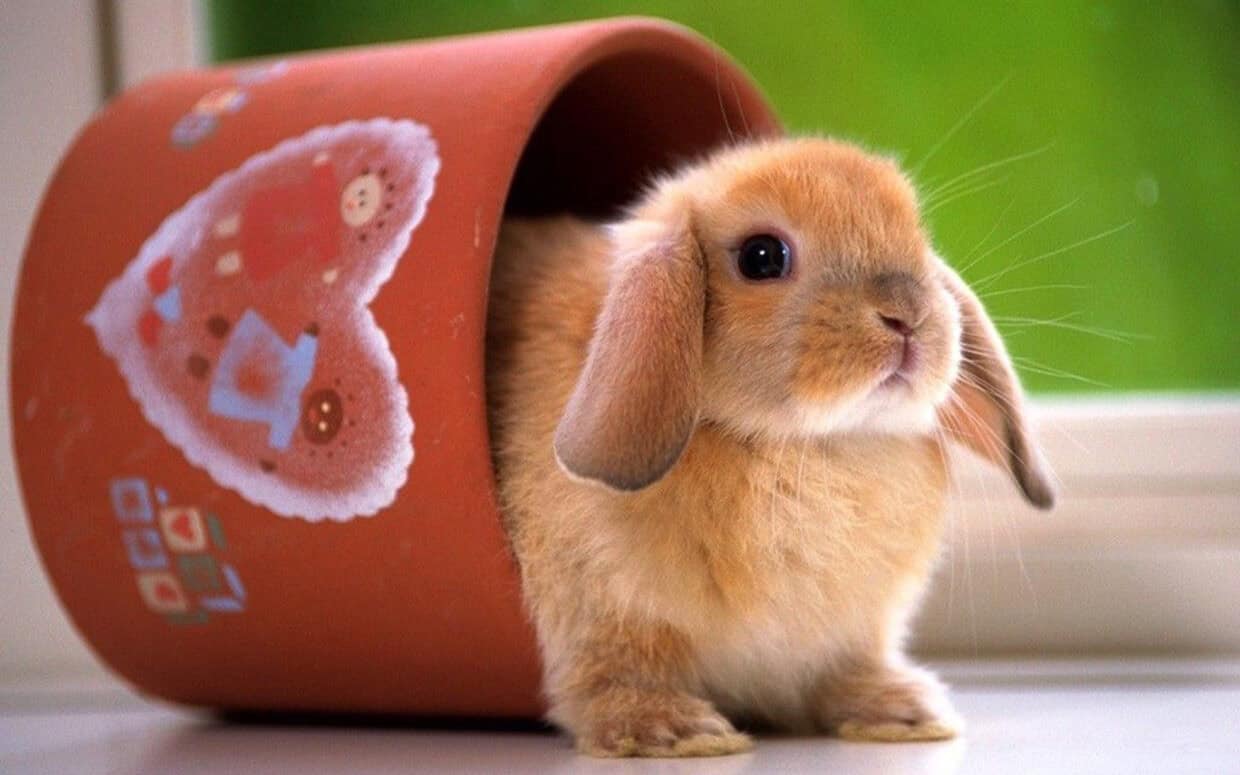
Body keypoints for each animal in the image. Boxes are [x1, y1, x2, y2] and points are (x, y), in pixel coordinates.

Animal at [485, 136, 1055, 758]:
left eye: (917, 237)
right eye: (762, 258)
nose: (908, 316)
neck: (799, 445)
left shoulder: (851, 635)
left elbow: (845, 671)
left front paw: (905, 713)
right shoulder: (607, 616)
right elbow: (613, 675)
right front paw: (677, 732)